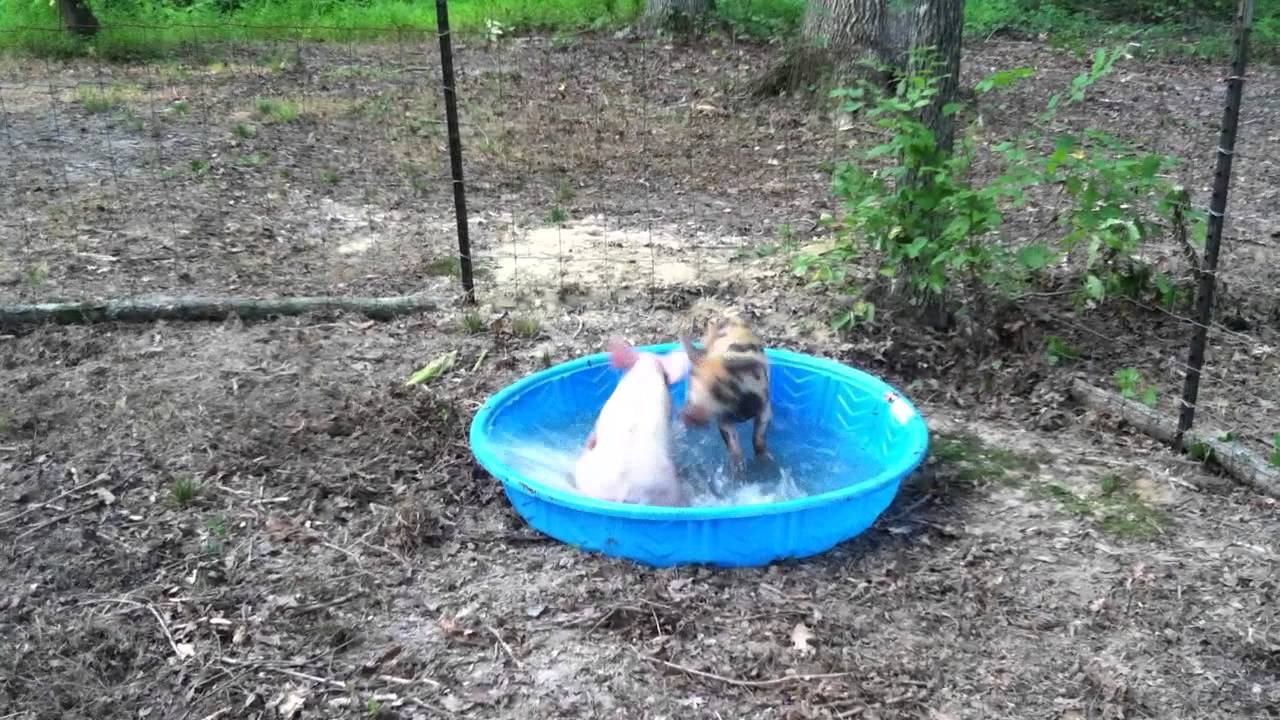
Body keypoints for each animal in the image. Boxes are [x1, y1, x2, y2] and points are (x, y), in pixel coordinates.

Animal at [678, 315, 772, 474]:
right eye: (691, 384)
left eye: (718, 387)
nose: (688, 415)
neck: (738, 408)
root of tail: (727, 316)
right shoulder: (723, 419)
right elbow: (732, 443)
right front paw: (738, 470)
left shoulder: (765, 406)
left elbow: (758, 436)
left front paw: (767, 460)